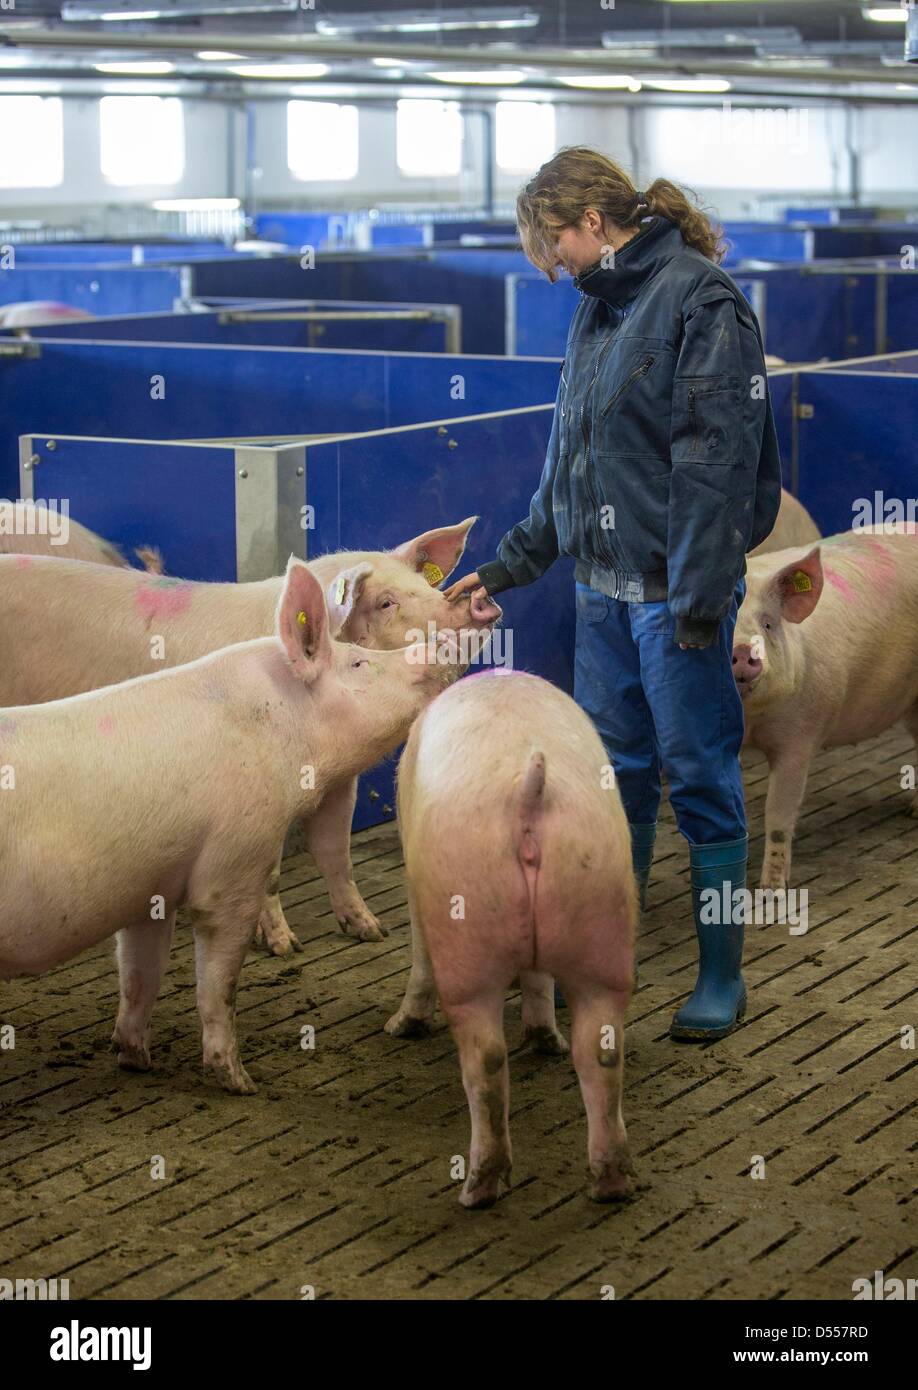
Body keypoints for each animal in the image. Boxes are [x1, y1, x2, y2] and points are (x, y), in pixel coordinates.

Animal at [0, 518, 501, 955]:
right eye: (386, 602)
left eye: (428, 586)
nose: (473, 600)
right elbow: (272, 872)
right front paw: (284, 946)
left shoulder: (340, 780)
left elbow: (336, 852)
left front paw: (371, 930)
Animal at [0, 560, 464, 1094]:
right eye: (358, 663)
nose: (443, 645)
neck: (277, 727)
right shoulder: (234, 864)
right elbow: (219, 982)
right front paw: (240, 1081)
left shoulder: (153, 886)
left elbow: (140, 973)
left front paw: (135, 1057)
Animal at [385, 670, 636, 1208]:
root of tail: (529, 791)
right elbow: (539, 977)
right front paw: (543, 1037)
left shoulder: (418, 892)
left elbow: (419, 956)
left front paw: (401, 1026)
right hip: (601, 915)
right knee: (602, 1050)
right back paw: (610, 1183)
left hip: (466, 933)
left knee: (485, 1059)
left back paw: (478, 1190)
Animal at [733, 527, 918, 888]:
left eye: (767, 624)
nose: (743, 650)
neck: (754, 721)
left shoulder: (801, 735)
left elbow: (778, 816)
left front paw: (771, 891)